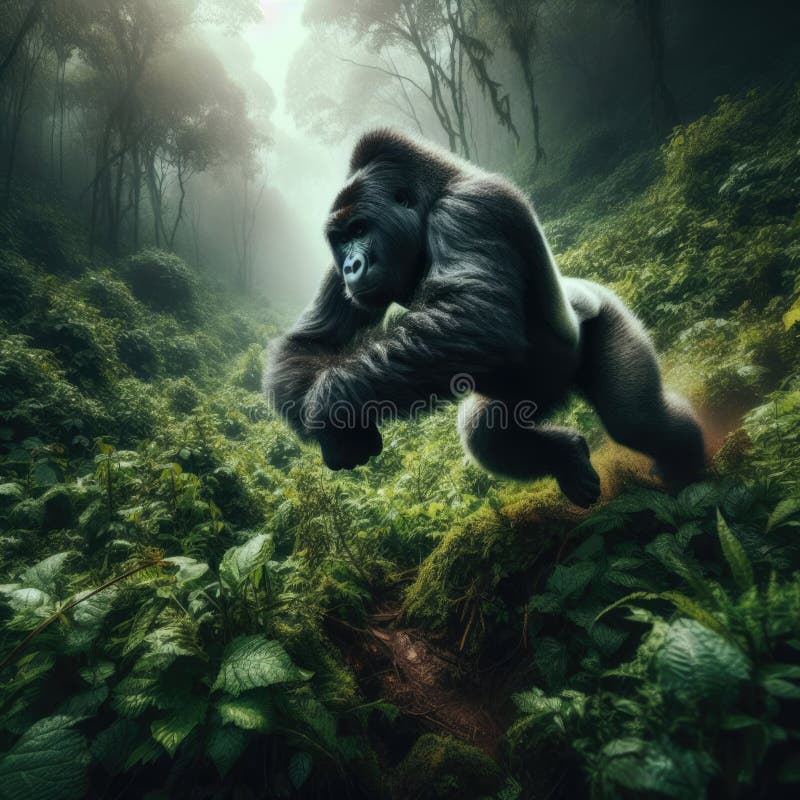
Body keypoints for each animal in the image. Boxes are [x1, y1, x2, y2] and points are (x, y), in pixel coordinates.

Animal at [263, 129, 705, 507]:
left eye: (360, 229)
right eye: (341, 239)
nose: (351, 266)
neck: (430, 198)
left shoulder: (469, 208)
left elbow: (474, 317)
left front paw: (326, 411)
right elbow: (312, 340)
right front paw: (335, 424)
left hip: (607, 312)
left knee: (635, 420)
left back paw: (689, 467)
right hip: (525, 397)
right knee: (486, 435)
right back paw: (569, 458)